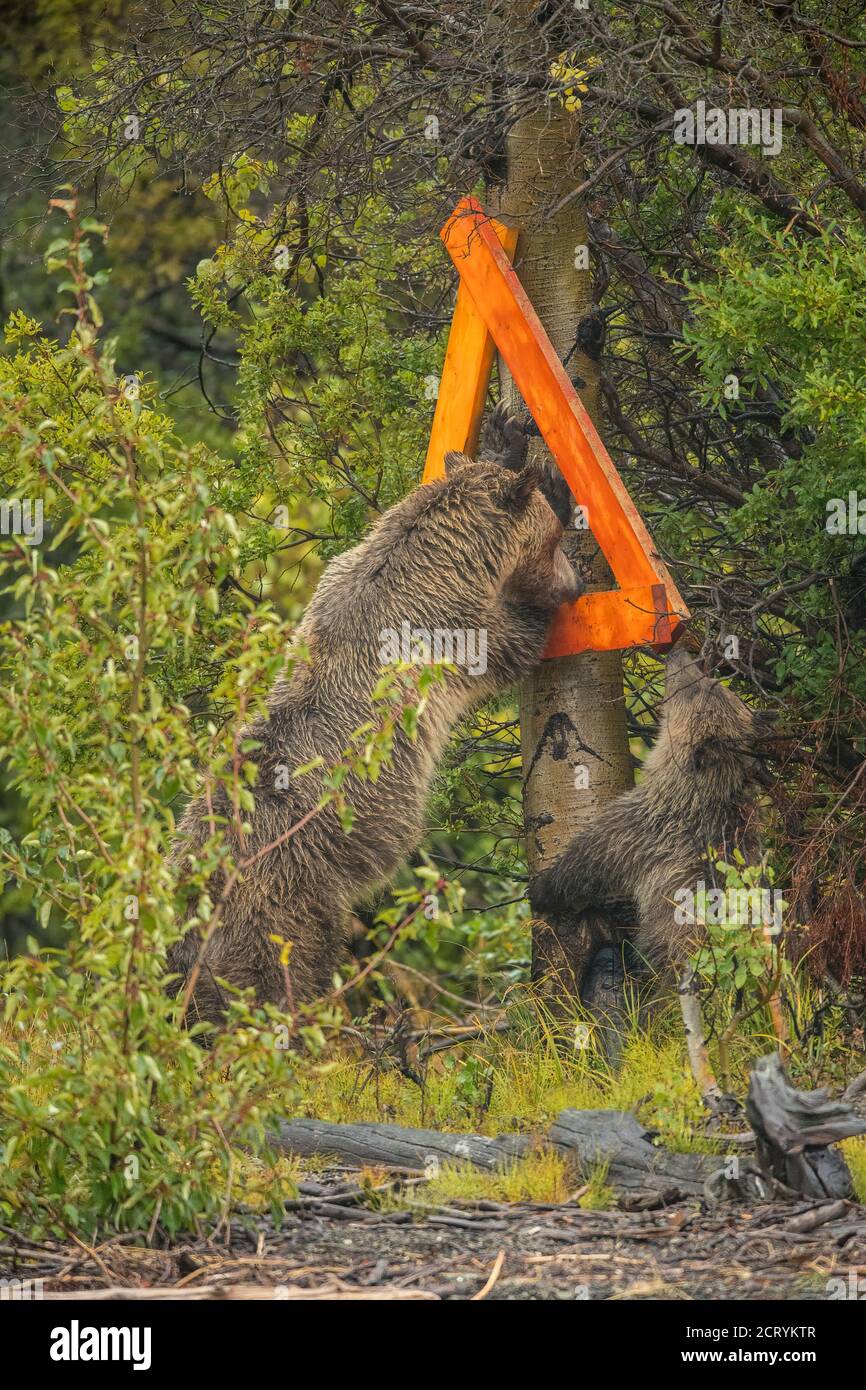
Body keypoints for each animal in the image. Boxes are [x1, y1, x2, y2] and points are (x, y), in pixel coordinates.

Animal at [168, 407, 581, 1027]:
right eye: (554, 537)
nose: (575, 584)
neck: (449, 564)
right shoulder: (453, 631)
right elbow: (509, 646)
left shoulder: (343, 576)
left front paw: (505, 435)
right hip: (286, 905)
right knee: (281, 979)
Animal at [529, 646, 775, 1003]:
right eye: (713, 681)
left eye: (700, 688)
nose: (679, 653)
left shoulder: (643, 829)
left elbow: (590, 861)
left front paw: (541, 888)